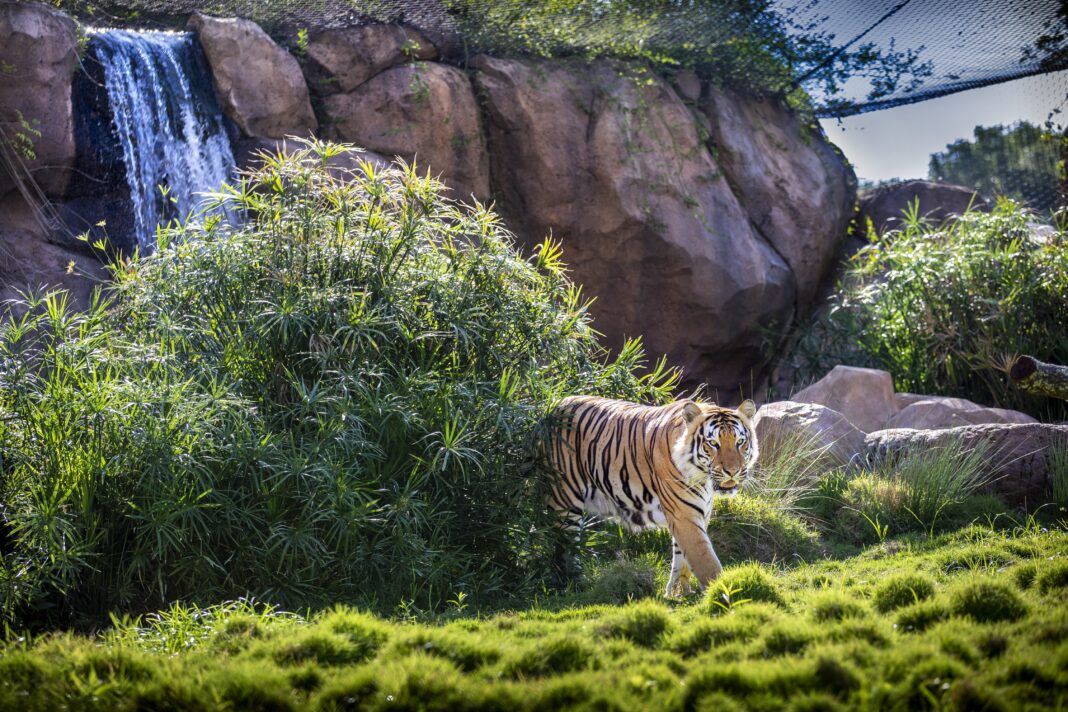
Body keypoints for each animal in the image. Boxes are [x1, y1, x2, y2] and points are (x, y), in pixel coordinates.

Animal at [544, 395, 758, 597]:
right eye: (713, 443)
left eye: (740, 442)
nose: (732, 471)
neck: (703, 478)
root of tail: (557, 403)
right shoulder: (684, 515)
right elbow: (705, 560)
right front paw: (723, 593)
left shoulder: (698, 513)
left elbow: (682, 558)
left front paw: (678, 593)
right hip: (565, 500)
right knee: (564, 547)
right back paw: (572, 583)